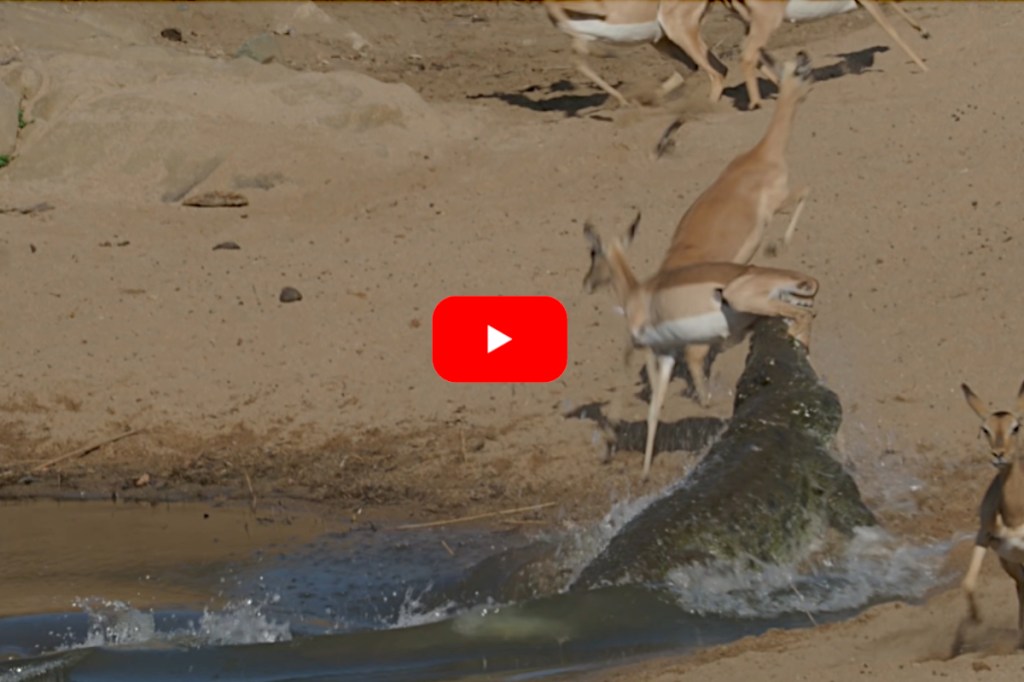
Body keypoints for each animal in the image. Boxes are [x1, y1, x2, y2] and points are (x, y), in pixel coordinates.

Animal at [542, 0, 727, 107]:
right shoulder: (581, 37)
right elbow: (579, 63)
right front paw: (622, 101)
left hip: (678, 31)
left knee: (715, 72)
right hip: (661, 39)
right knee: (704, 67)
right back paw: (644, 100)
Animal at [583, 213, 818, 479]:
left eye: (593, 251)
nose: (587, 283)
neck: (637, 295)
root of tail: (807, 280)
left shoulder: (642, 348)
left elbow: (629, 392)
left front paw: (613, 453)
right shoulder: (667, 354)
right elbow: (655, 409)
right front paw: (644, 471)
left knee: (804, 316)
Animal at [588, 52, 814, 407]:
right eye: (798, 70)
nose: (806, 56)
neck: (762, 156)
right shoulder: (777, 205)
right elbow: (805, 191)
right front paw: (779, 244)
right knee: (694, 355)